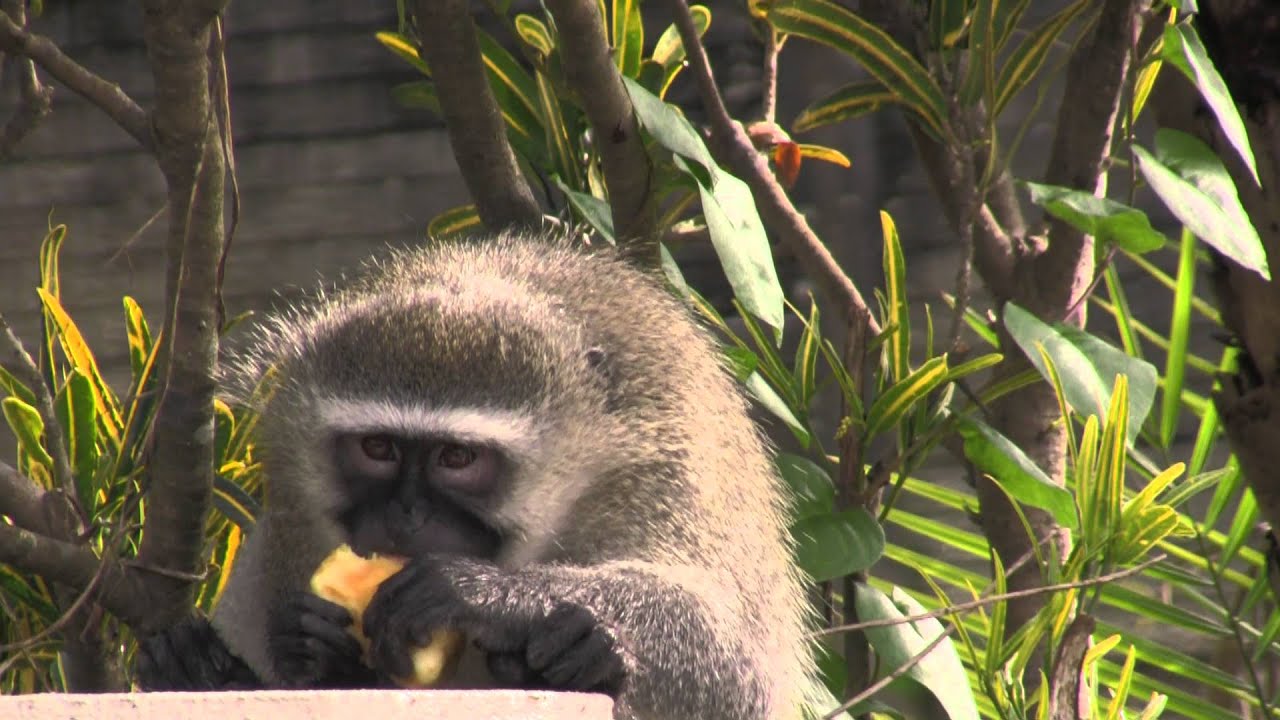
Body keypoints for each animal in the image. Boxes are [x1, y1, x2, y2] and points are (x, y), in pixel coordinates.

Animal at [135, 232, 829, 719]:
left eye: (457, 459)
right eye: (378, 448)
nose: (408, 515)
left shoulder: (661, 472)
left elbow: (740, 675)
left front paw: (488, 596)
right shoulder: (293, 517)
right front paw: (303, 654)